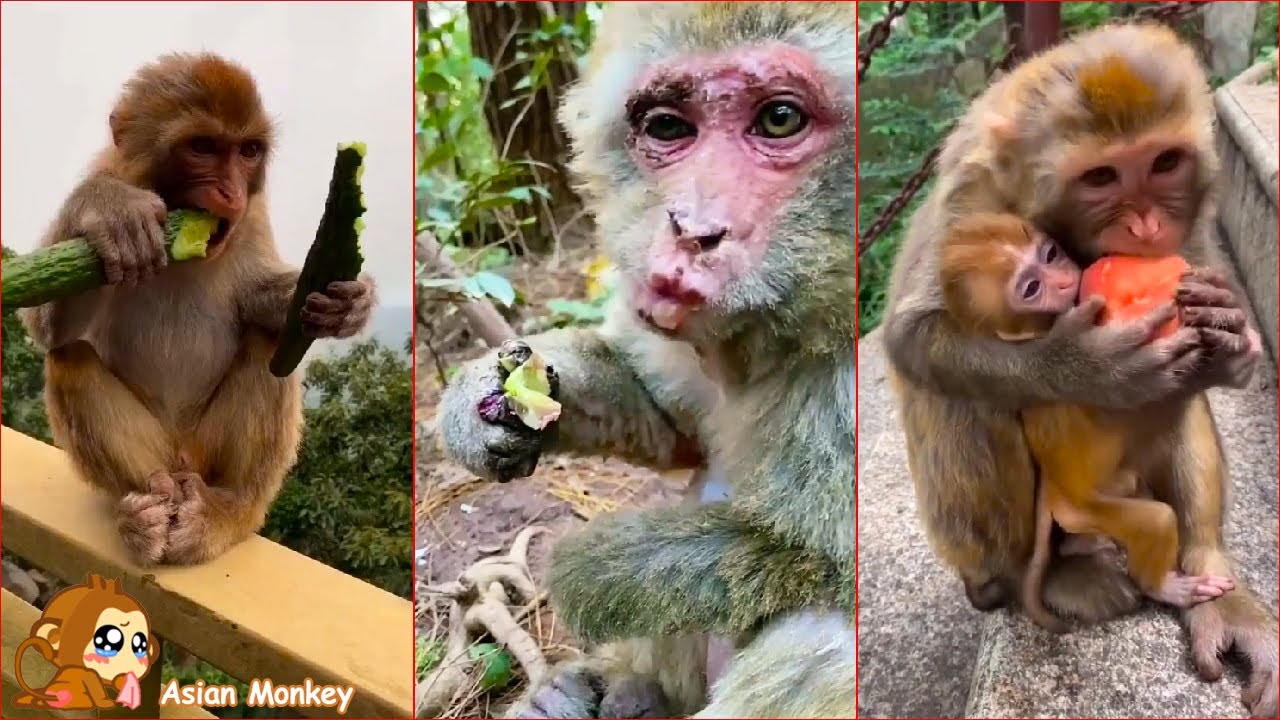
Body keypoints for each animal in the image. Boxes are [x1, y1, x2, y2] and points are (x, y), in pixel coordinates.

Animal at [17, 53, 375, 567]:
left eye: (248, 151)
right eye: (203, 147)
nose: (231, 193)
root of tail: (184, 460)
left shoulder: (253, 217)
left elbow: (262, 304)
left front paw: (350, 304)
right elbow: (49, 326)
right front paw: (110, 211)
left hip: (208, 451)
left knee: (268, 345)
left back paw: (228, 511)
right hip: (161, 450)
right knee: (68, 359)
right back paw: (143, 514)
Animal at [433, 3, 855, 717]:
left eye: (779, 119)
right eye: (667, 127)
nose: (691, 231)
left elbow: (832, 567)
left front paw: (587, 569)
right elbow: (669, 427)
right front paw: (484, 397)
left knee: (825, 637)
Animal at [938, 213, 1236, 634]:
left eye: (1050, 254)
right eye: (1032, 288)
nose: (1064, 278)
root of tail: (1055, 492)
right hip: (1083, 509)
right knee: (1156, 519)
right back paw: (1159, 586)